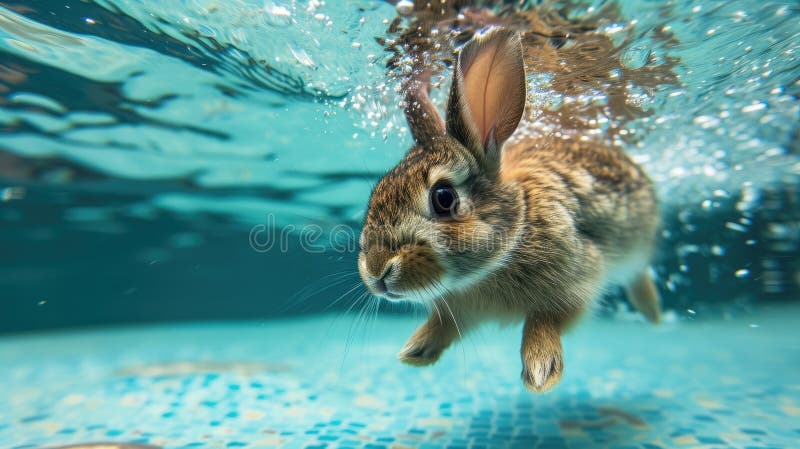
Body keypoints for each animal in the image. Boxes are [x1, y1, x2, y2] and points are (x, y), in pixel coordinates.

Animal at [357, 27, 660, 393]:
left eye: (444, 198)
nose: (376, 271)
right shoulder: (458, 312)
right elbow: (444, 327)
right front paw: (415, 351)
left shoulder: (577, 280)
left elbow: (546, 320)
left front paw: (541, 370)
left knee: (639, 272)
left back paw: (652, 313)